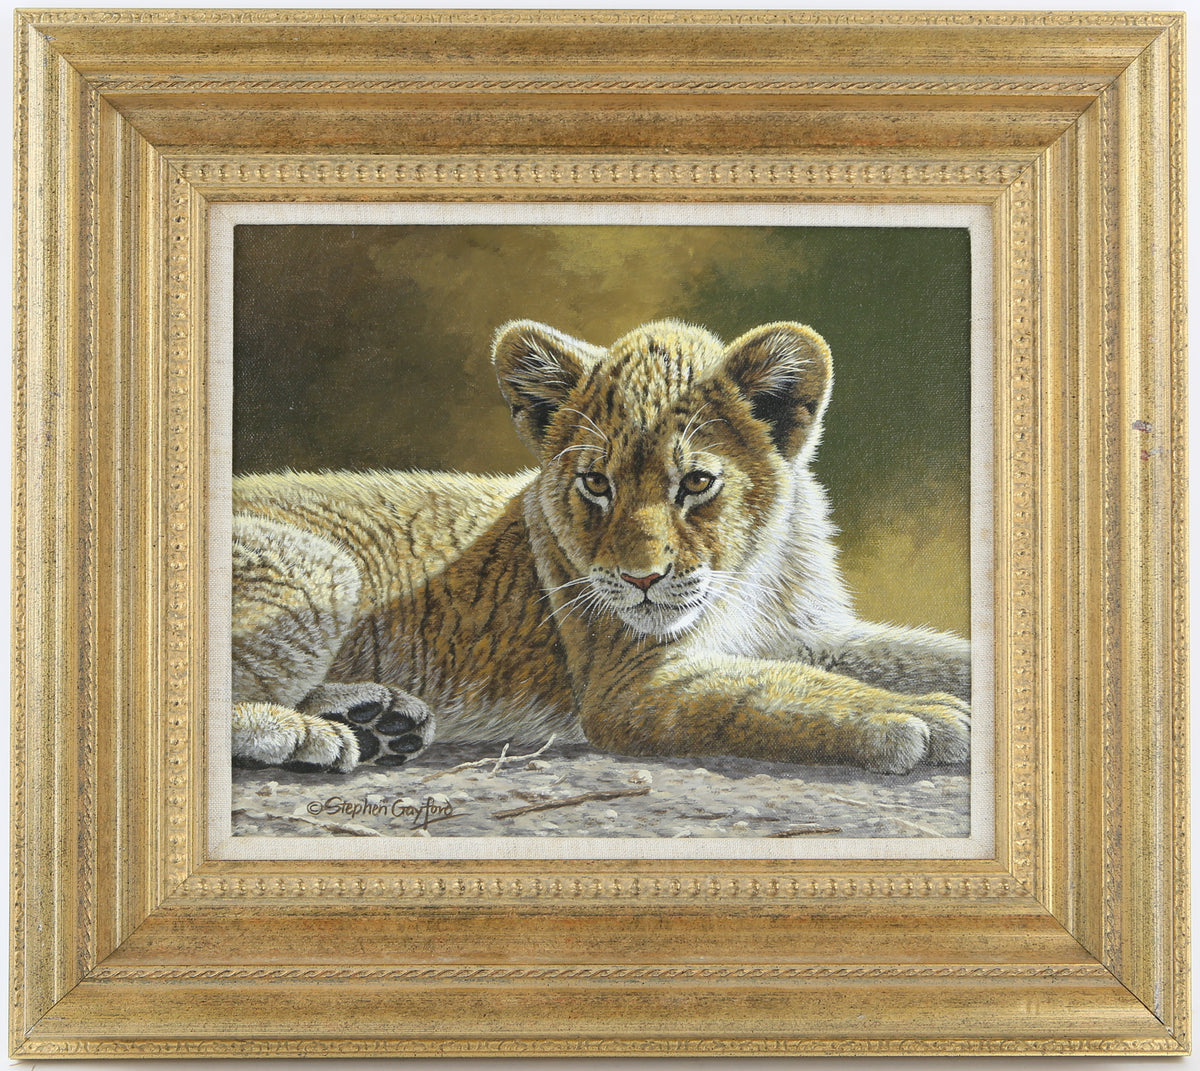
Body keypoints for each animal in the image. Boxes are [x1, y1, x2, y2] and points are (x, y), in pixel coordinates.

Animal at [230, 319, 970, 776]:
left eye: (696, 482)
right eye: (595, 483)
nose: (641, 580)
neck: (752, 574)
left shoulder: (807, 633)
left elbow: (917, 655)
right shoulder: (627, 686)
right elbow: (770, 693)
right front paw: (913, 715)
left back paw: (379, 718)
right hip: (317, 564)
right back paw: (315, 732)